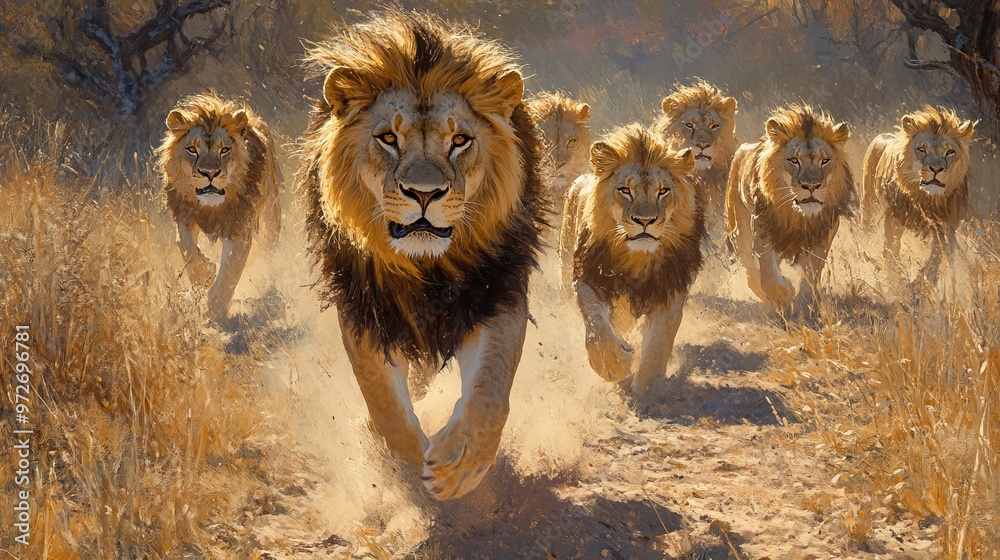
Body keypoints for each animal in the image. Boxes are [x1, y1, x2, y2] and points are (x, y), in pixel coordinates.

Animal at [158, 93, 281, 320]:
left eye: (224, 150)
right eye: (192, 149)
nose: (210, 173)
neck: (211, 208)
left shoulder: (240, 228)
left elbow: (230, 271)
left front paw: (216, 311)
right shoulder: (185, 218)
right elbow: (186, 247)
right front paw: (206, 274)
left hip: (271, 210)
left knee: (270, 244)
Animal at [299, 10, 546, 500]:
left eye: (461, 140)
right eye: (388, 138)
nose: (425, 193)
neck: (424, 268)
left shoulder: (496, 295)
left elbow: (490, 388)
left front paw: (458, 468)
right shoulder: (363, 308)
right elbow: (384, 403)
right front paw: (408, 468)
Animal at [560, 124, 703, 395]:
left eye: (663, 191)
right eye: (625, 190)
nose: (644, 221)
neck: (636, 258)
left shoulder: (671, 290)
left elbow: (658, 343)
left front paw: (646, 390)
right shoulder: (586, 278)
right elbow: (596, 325)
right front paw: (614, 365)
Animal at [725, 104, 854, 315]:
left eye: (825, 161)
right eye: (794, 160)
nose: (811, 186)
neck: (798, 215)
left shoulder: (823, 233)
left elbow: (812, 272)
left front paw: (805, 306)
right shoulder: (763, 229)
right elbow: (768, 275)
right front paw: (784, 294)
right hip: (739, 229)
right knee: (750, 271)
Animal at [861, 106, 975, 287]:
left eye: (950, 152)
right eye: (922, 150)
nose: (936, 169)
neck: (927, 199)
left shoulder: (944, 226)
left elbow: (936, 256)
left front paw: (924, 283)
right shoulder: (893, 218)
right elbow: (891, 251)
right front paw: (896, 280)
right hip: (868, 204)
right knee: (866, 231)